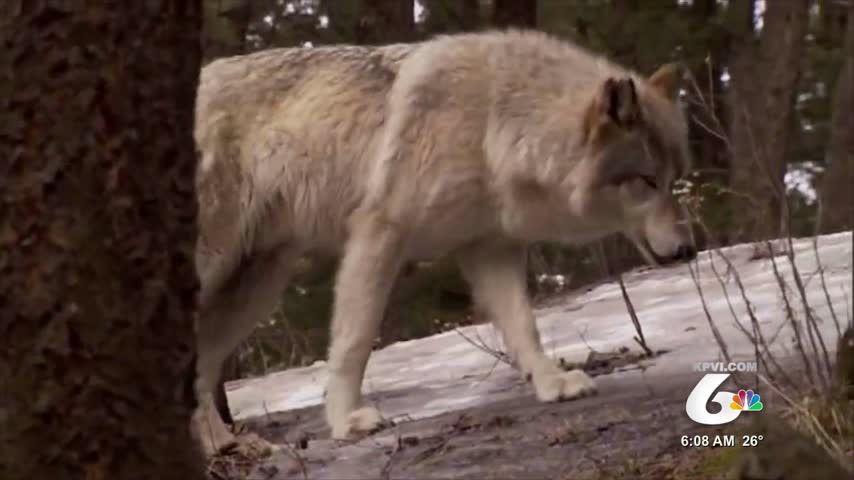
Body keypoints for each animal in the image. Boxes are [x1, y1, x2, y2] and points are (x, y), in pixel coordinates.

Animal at [192, 30, 695, 451]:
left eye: (674, 178)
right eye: (647, 180)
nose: (688, 248)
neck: (492, 125)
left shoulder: (490, 248)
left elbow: (524, 325)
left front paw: (552, 383)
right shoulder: (378, 236)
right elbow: (355, 342)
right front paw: (346, 421)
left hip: (258, 287)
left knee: (199, 367)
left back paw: (225, 446)